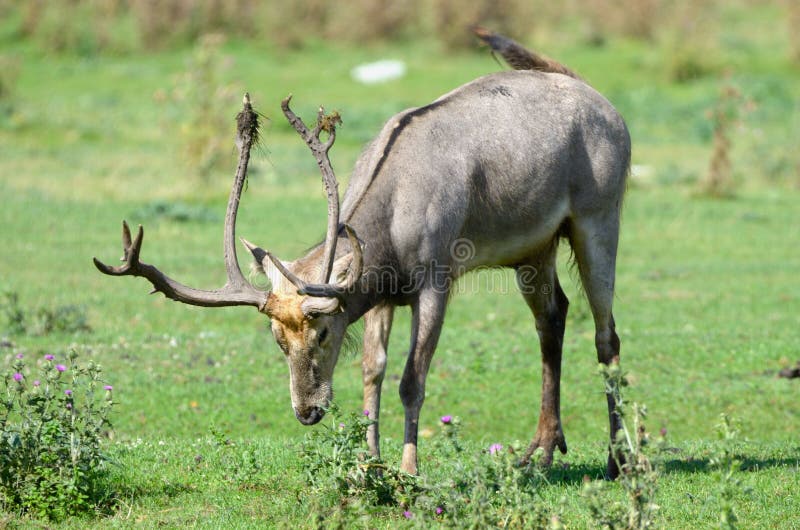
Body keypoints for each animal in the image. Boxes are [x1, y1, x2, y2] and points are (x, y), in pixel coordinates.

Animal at [94, 28, 631, 479]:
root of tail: (608, 106)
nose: (307, 411)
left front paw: (410, 469)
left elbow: (412, 378)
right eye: (277, 339)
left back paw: (618, 460)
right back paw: (541, 450)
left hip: (600, 213)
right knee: (553, 316)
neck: (390, 237)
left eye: (323, 332)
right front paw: (369, 463)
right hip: (533, 247)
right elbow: (373, 370)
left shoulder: (437, 277)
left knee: (606, 334)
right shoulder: (382, 295)